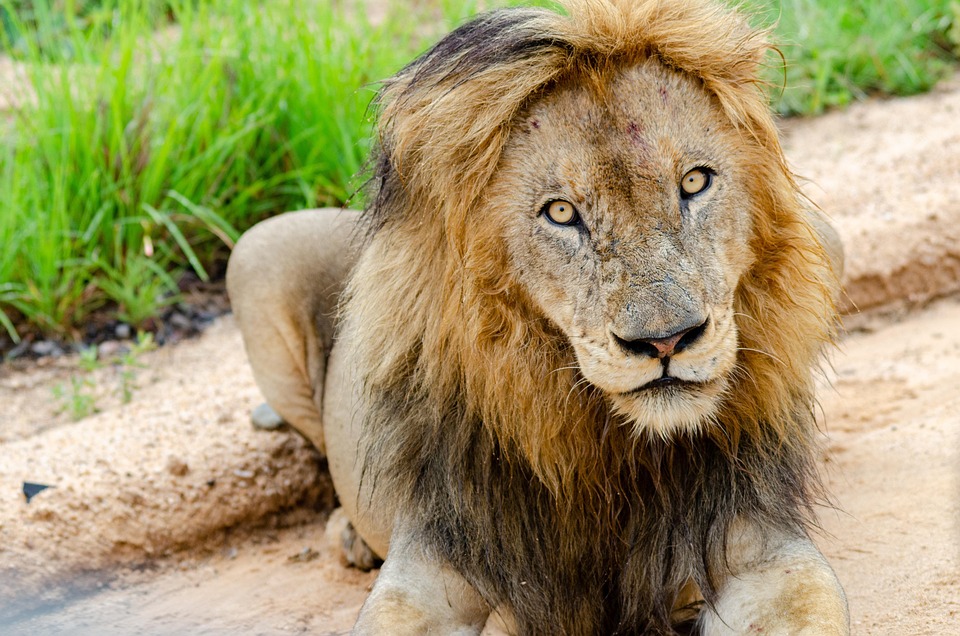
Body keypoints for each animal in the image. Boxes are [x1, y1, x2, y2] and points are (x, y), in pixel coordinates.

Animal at [226, 0, 849, 633]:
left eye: (694, 182)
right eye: (561, 213)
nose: (667, 342)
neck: (604, 444)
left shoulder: (762, 547)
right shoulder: (439, 558)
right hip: (256, 251)